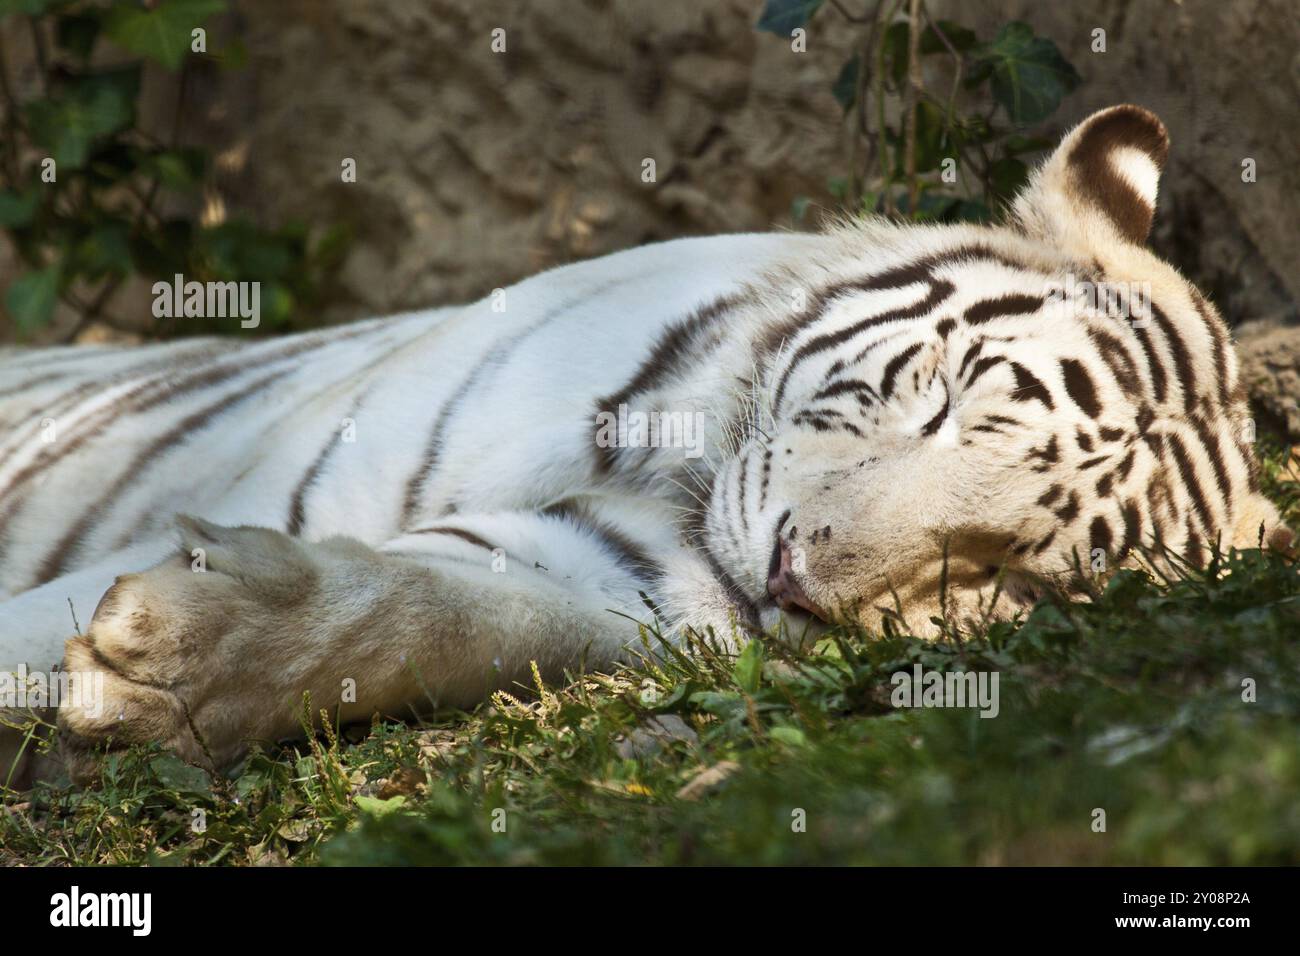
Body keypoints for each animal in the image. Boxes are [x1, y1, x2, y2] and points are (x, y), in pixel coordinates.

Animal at [0, 105, 1291, 786]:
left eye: (1014, 576)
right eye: (941, 399)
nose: (789, 579)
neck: (657, 474)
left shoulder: (600, 575)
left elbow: (448, 607)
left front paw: (182, 664)